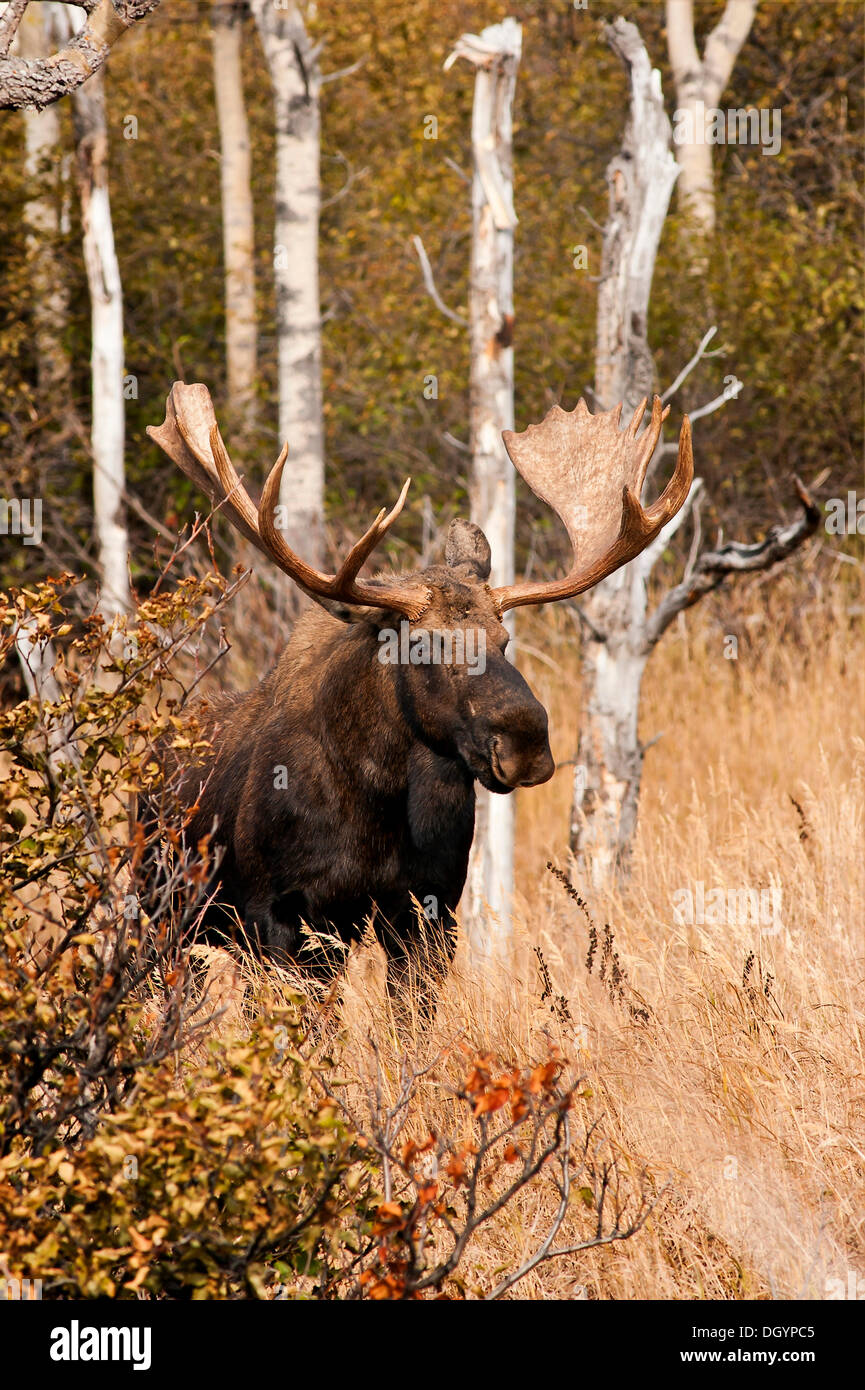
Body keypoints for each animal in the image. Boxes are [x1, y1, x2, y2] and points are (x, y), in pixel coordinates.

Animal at [146, 383, 692, 1020]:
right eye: (423, 643)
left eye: (504, 640)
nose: (526, 740)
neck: (373, 805)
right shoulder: (275, 918)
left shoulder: (429, 913)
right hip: (161, 912)